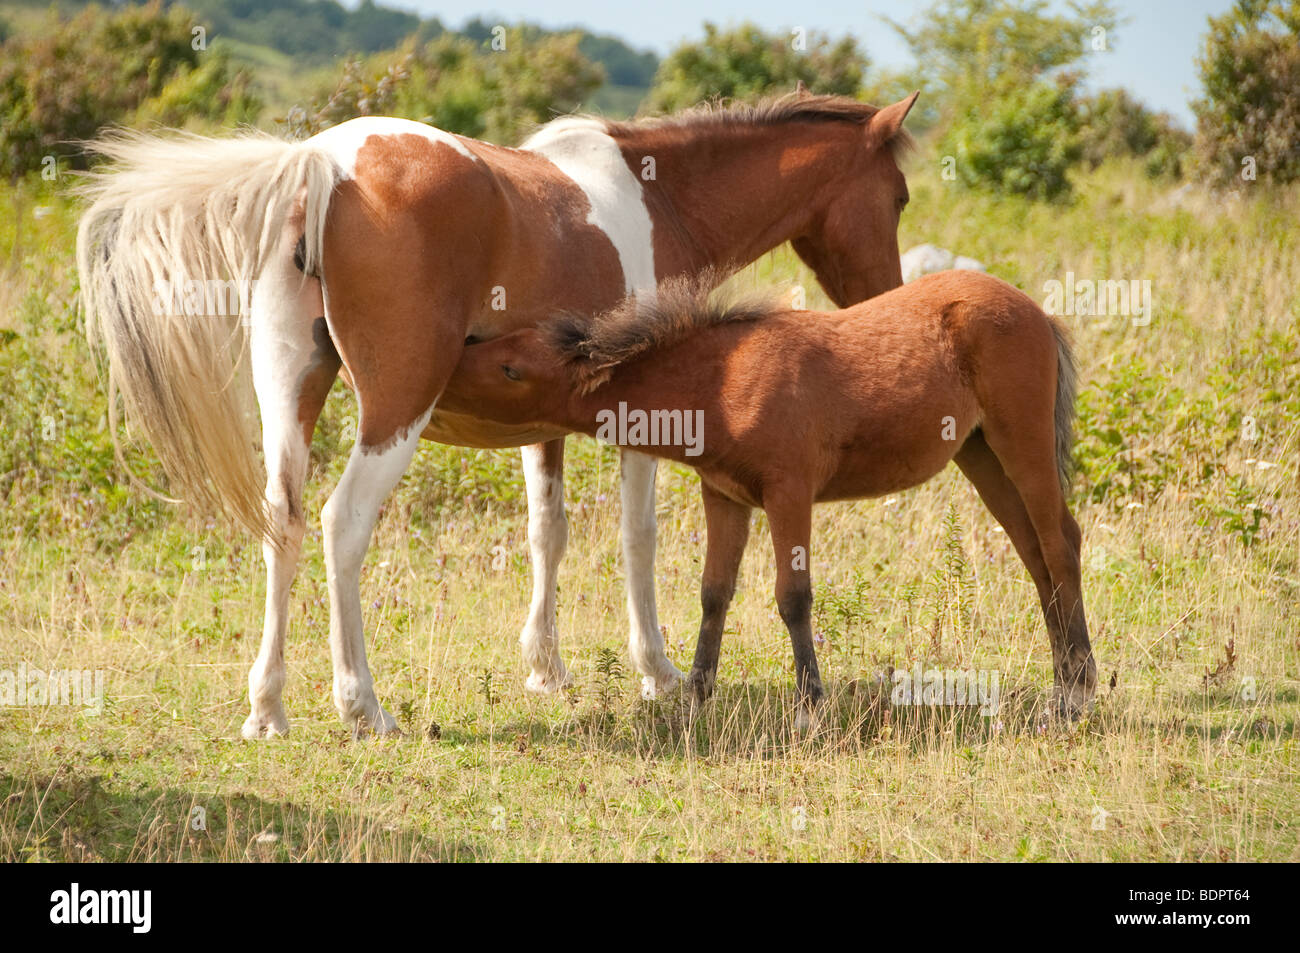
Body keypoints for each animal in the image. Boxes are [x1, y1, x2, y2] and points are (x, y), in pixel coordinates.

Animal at [74, 89, 919, 738]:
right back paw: (363, 705)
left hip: (293, 396)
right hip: (395, 413)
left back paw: (268, 708)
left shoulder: (546, 424)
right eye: (901, 196)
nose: (888, 298)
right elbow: (637, 539)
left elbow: (548, 531)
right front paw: (657, 670)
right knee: (341, 525)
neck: (663, 195)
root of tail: (321, 166)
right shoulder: (644, 420)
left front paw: (545, 666)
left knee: (282, 523)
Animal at [438, 270, 1098, 725]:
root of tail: (1038, 313)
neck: (723, 382)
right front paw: (697, 696)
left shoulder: (789, 494)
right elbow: (714, 594)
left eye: (511, 369)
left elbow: (792, 597)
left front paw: (809, 705)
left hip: (1021, 443)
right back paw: (1065, 678)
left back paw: (1076, 694)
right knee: (1034, 553)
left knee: (1060, 543)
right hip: (981, 454)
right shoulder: (725, 497)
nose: (452, 357)